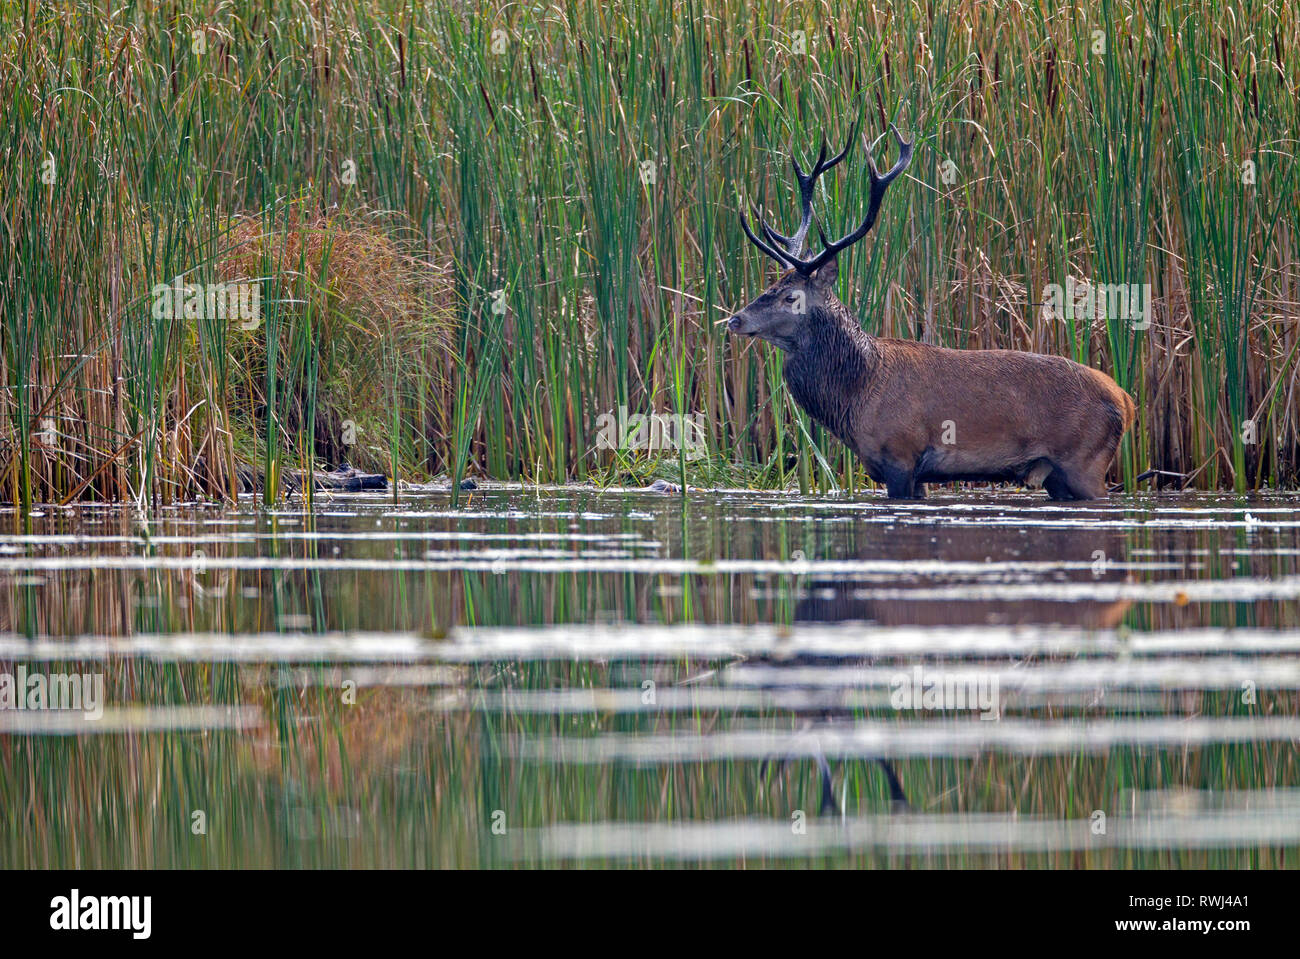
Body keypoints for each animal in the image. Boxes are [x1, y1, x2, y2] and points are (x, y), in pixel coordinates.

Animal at [727, 123, 1136, 500]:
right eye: (770, 285)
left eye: (790, 297)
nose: (735, 319)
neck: (857, 396)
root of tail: (1126, 400)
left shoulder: (900, 454)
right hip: (1056, 475)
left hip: (1085, 462)